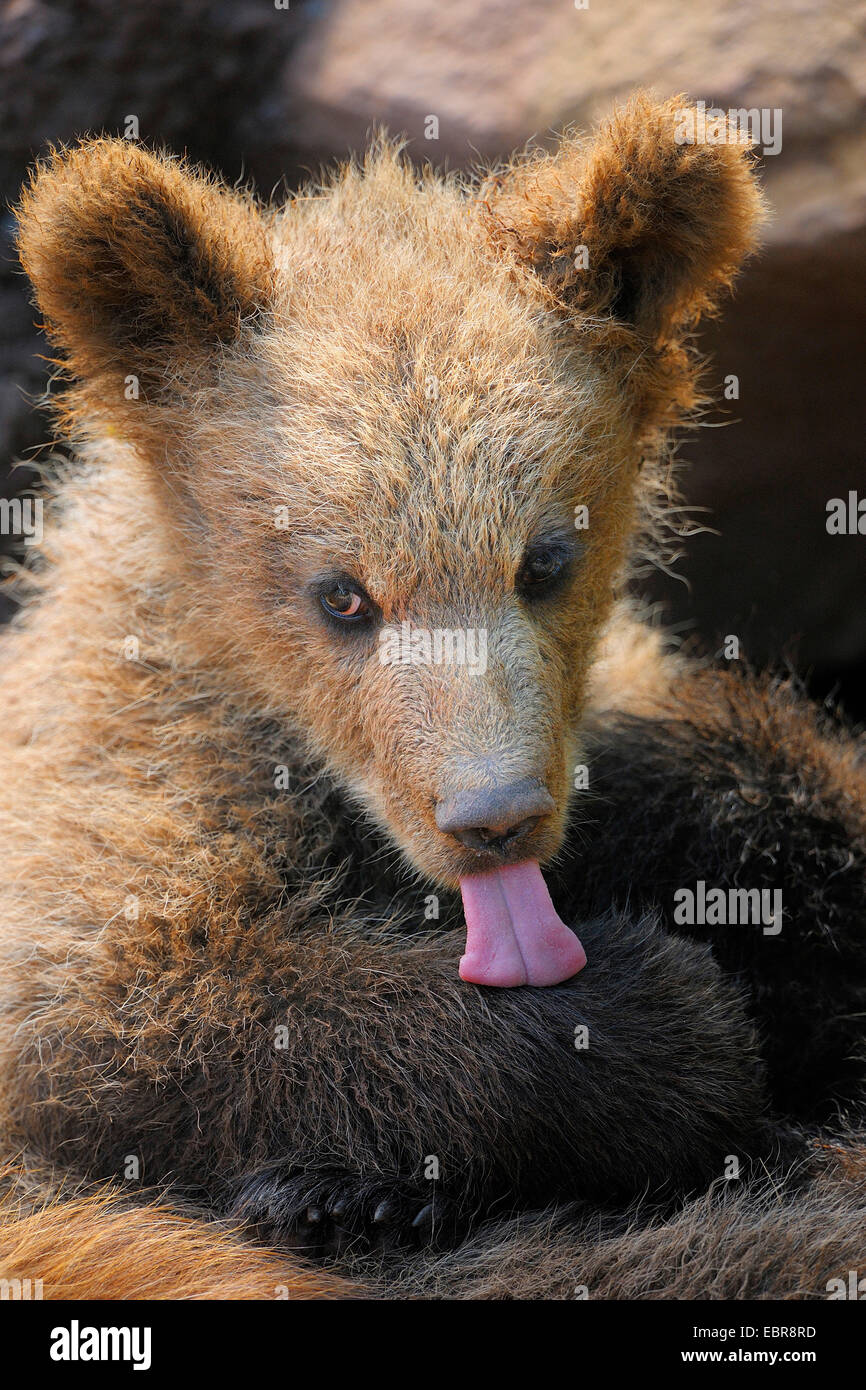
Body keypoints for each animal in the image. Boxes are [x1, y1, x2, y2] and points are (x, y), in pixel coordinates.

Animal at [0, 94, 864, 1299]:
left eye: (543, 559)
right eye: (341, 594)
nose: (491, 817)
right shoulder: (127, 751)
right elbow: (104, 999)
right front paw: (665, 1021)